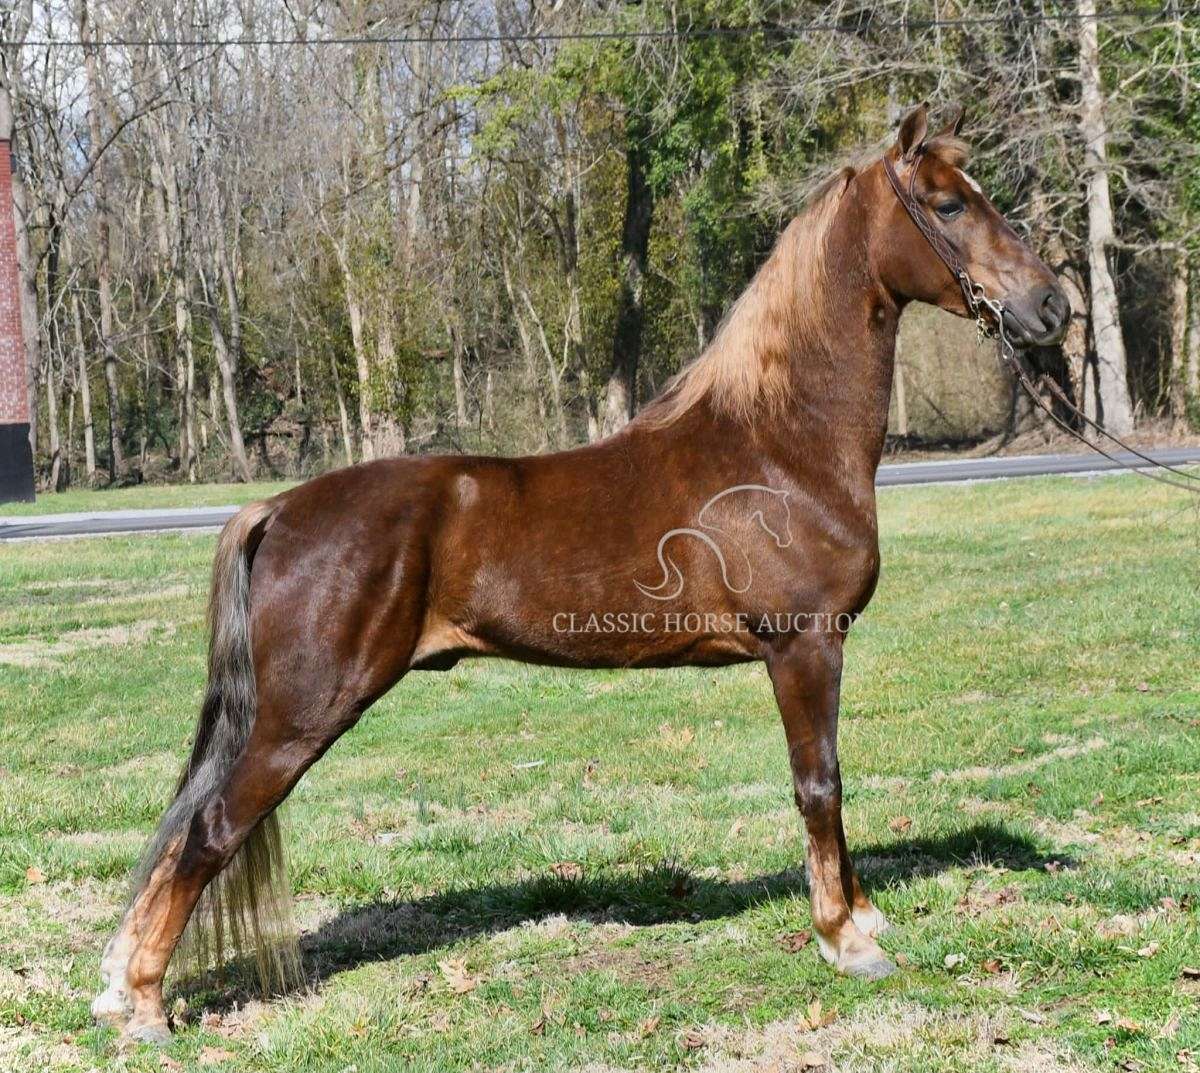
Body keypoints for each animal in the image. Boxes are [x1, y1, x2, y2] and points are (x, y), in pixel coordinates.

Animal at [92, 104, 1068, 1042]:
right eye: (948, 205)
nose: (1052, 305)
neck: (780, 444)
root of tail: (278, 507)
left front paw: (861, 914)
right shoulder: (806, 648)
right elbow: (820, 780)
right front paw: (846, 937)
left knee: (188, 822)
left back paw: (116, 984)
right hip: (300, 716)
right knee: (211, 826)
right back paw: (144, 1005)